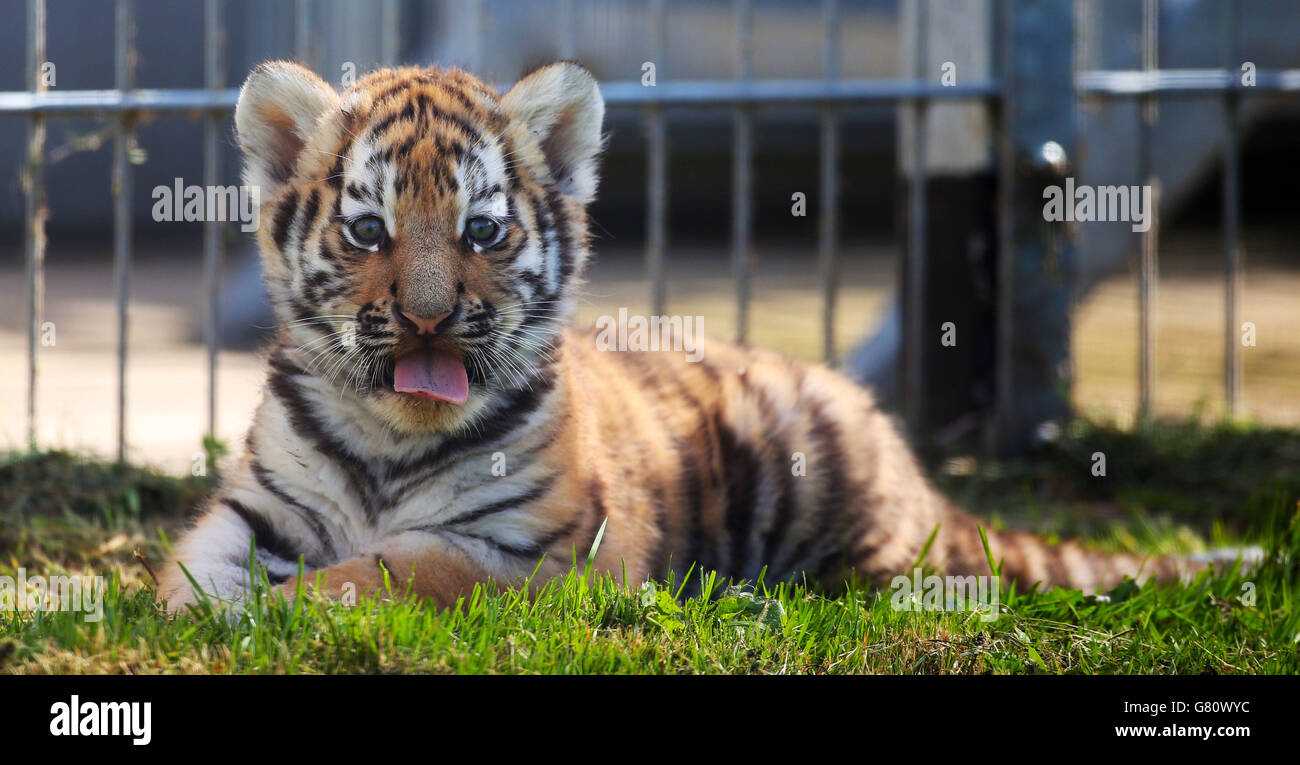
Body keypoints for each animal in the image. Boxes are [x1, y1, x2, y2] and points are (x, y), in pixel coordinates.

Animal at [159, 59, 1210, 613]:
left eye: (482, 231)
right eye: (369, 230)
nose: (426, 317)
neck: (387, 440)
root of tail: (919, 480)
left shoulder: (529, 549)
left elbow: (398, 566)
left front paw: (291, 607)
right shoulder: (252, 506)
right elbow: (192, 566)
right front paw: (211, 612)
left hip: (821, 473)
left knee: (894, 576)